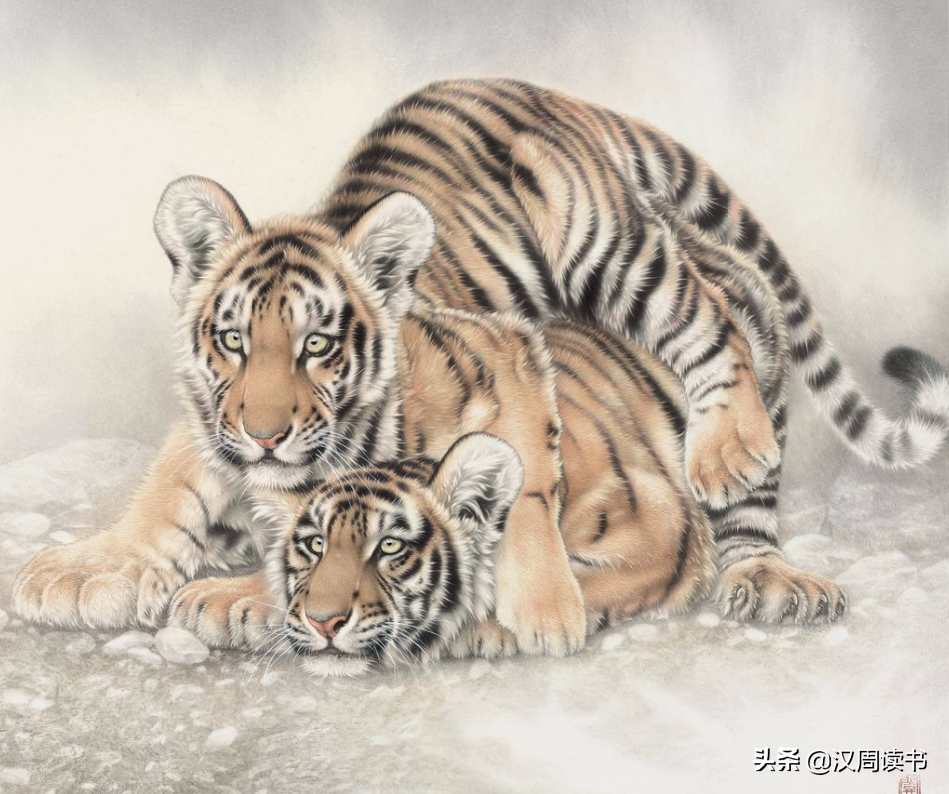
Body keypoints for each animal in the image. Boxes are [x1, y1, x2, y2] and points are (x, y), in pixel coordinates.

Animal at [13, 79, 949, 652]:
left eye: (318, 344)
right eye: (233, 340)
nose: (266, 434)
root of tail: (550, 94)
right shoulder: (217, 429)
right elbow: (172, 484)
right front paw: (88, 573)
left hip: (611, 249)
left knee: (708, 333)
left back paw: (745, 505)